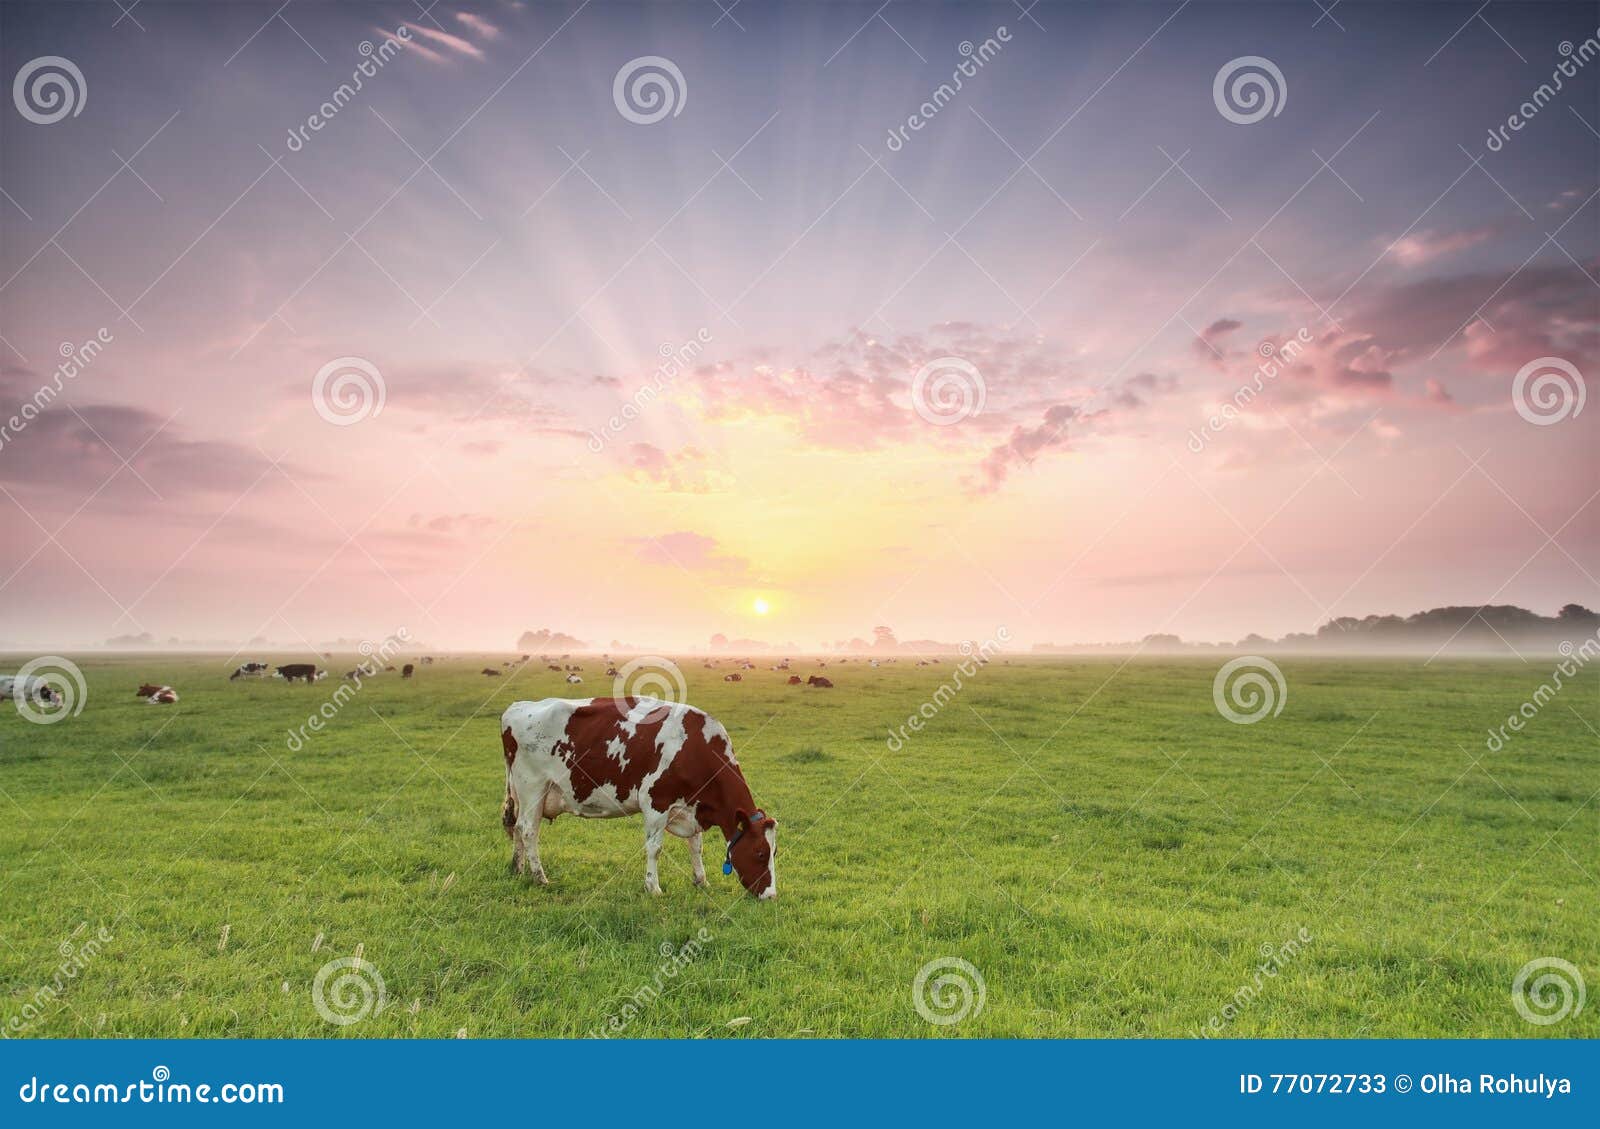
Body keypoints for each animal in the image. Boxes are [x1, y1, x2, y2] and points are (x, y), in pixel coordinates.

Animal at [500, 697, 777, 897]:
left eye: (774, 852)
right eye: (760, 853)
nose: (771, 896)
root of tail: (518, 707)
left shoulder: (691, 806)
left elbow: (696, 846)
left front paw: (701, 881)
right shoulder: (656, 802)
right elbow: (655, 848)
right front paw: (653, 888)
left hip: (521, 792)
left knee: (517, 828)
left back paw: (518, 869)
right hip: (533, 787)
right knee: (528, 830)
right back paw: (540, 877)